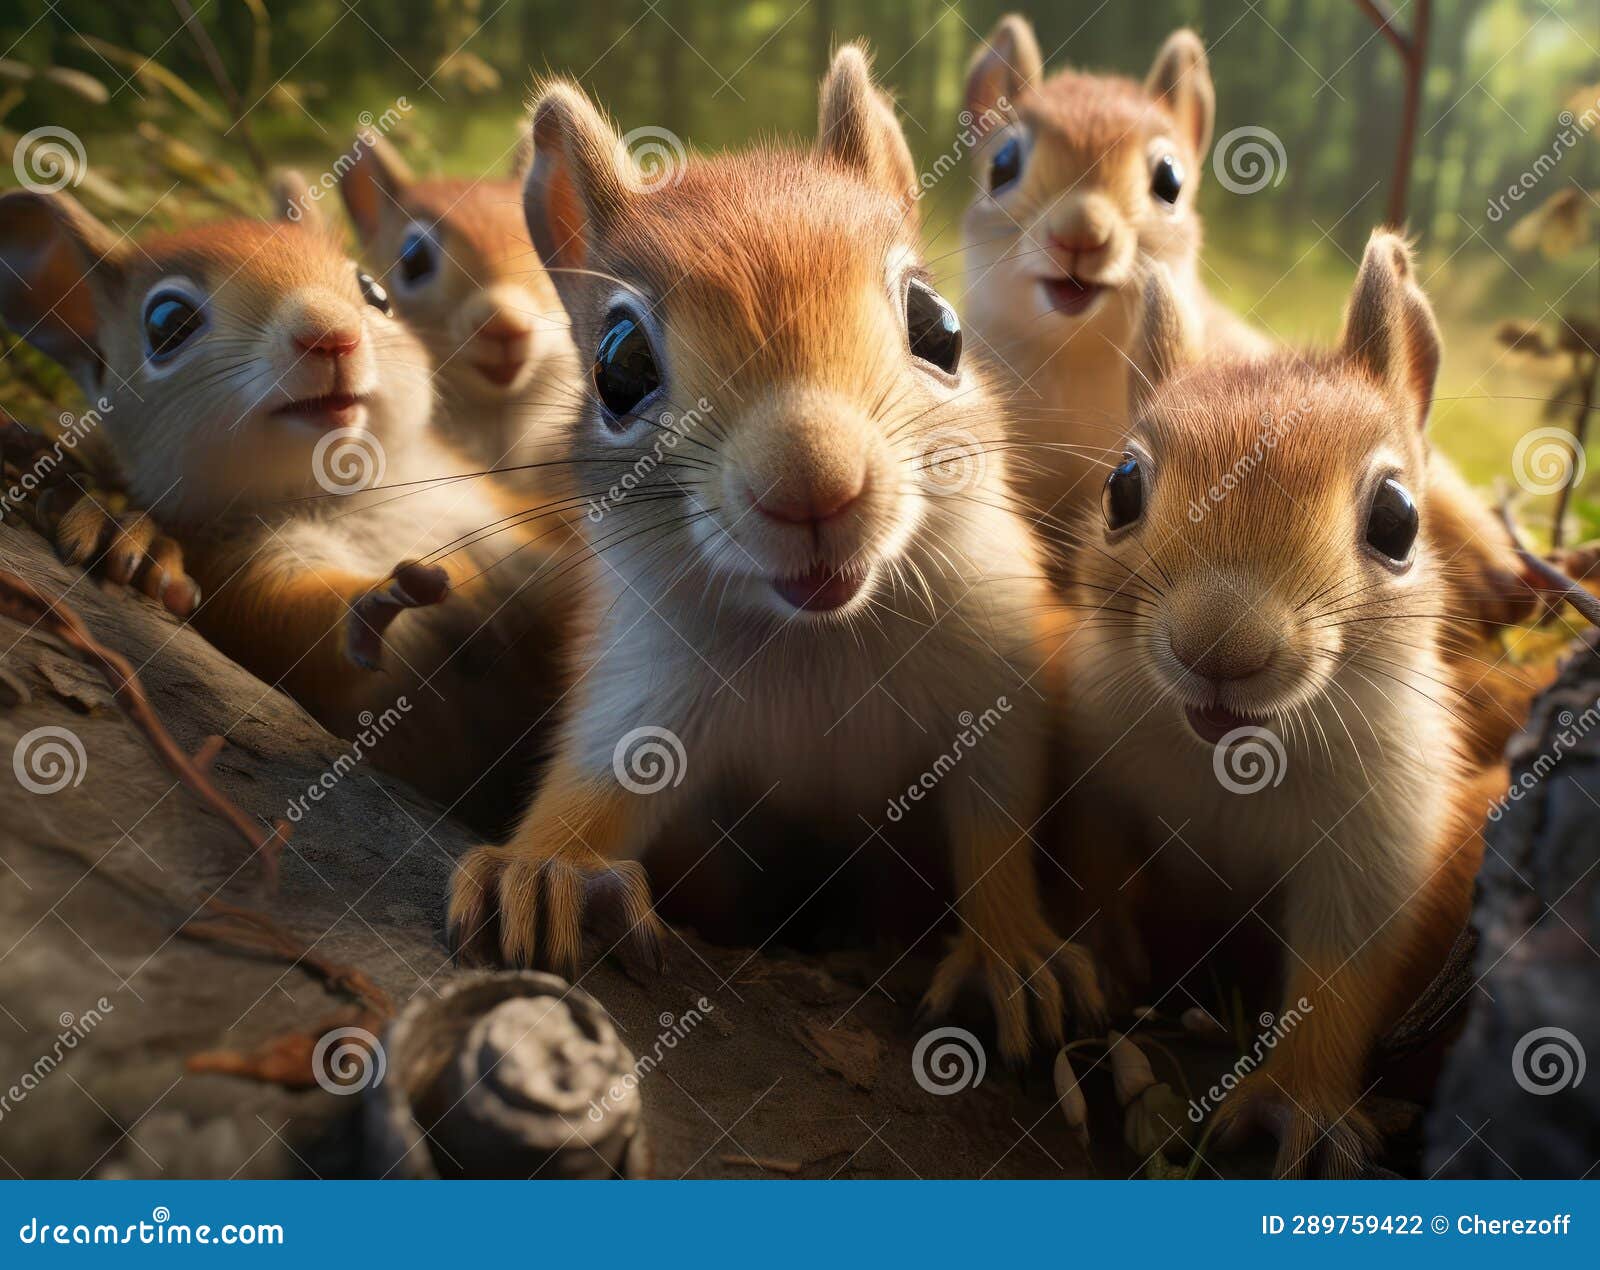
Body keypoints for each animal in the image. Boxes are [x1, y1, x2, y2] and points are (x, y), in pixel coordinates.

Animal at [0, 185, 573, 835]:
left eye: (374, 291)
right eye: (167, 324)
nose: (331, 335)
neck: (355, 497)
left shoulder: (494, 518)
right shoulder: (244, 570)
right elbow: (305, 636)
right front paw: (375, 600)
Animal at [446, 46, 1106, 1062]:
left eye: (940, 328)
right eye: (617, 367)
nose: (812, 485)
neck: (818, 640)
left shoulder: (1000, 675)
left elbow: (996, 820)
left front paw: (1010, 950)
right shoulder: (644, 687)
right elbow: (593, 785)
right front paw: (544, 868)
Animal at [1052, 234, 1518, 1176]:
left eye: (1398, 521)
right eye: (1121, 487)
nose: (1219, 650)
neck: (1231, 758)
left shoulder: (1378, 847)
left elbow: (1339, 981)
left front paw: (1295, 1107)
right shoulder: (1097, 767)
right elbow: (1097, 863)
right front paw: (1107, 961)